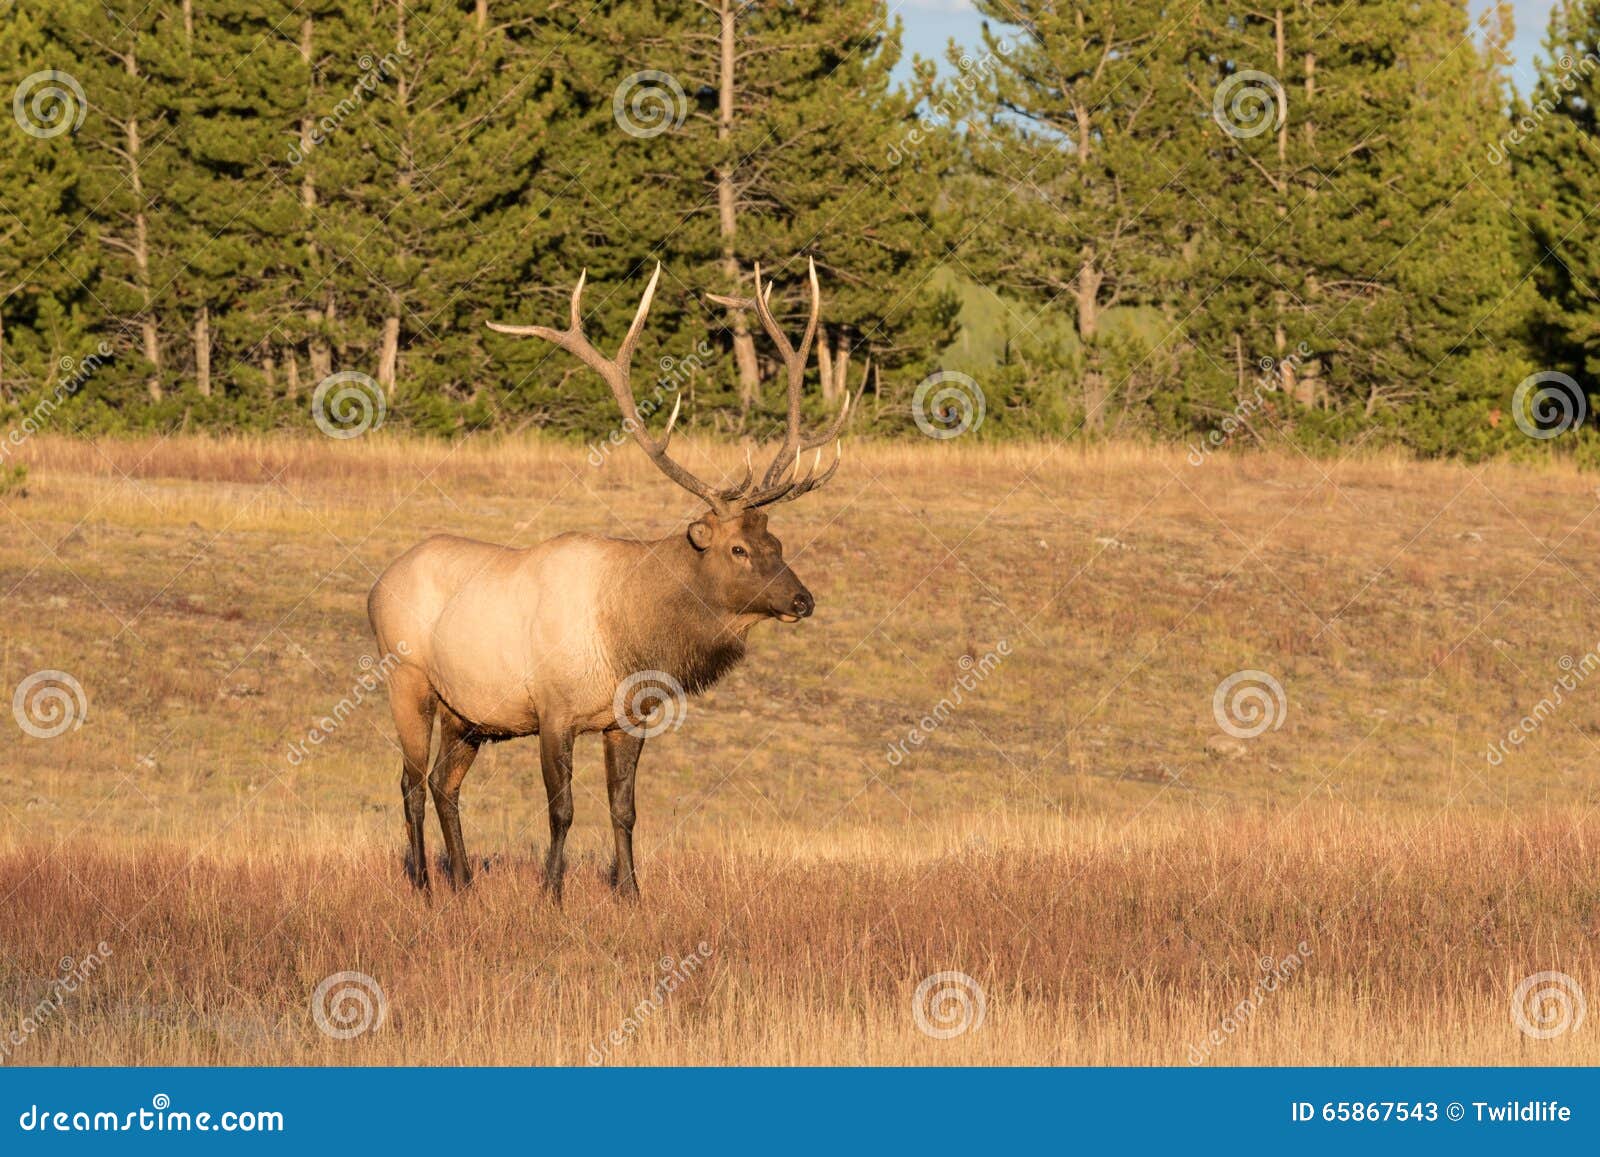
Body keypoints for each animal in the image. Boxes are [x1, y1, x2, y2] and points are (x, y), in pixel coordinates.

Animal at [367, 258, 857, 901]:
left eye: (777, 543)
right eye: (739, 548)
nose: (803, 599)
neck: (628, 637)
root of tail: (376, 584)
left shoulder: (627, 718)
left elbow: (624, 808)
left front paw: (631, 892)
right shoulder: (552, 710)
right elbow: (562, 810)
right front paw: (551, 894)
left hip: (466, 713)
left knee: (445, 784)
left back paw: (465, 882)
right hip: (407, 681)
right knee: (410, 783)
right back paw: (425, 884)